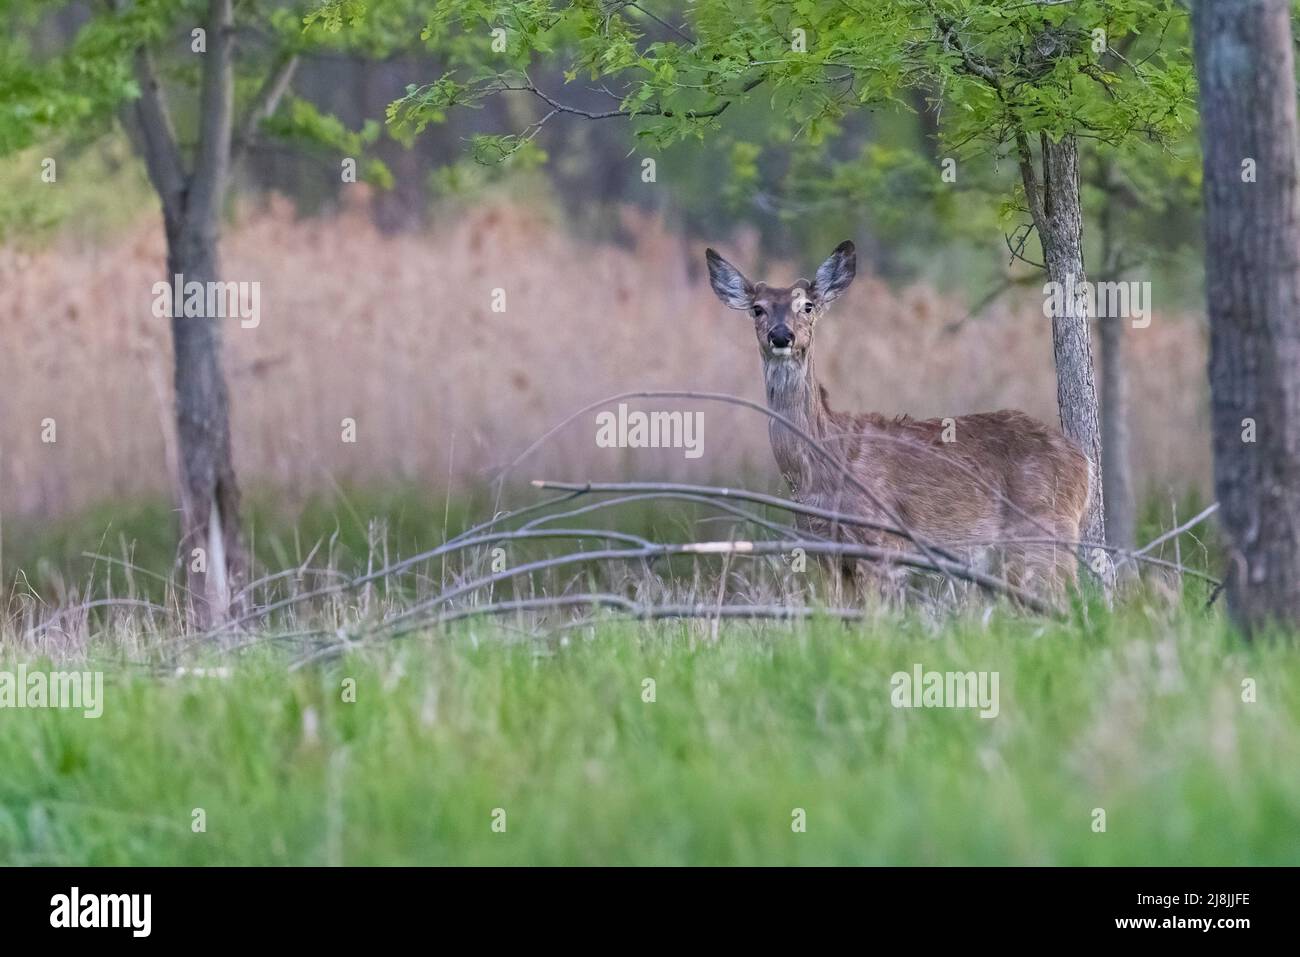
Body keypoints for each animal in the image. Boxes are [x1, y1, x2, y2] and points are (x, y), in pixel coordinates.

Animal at [704, 240, 1093, 602]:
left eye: (808, 306)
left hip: (1044, 530)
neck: (819, 468)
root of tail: (1083, 461)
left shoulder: (882, 541)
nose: (781, 335)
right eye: (757, 308)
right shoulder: (825, 550)